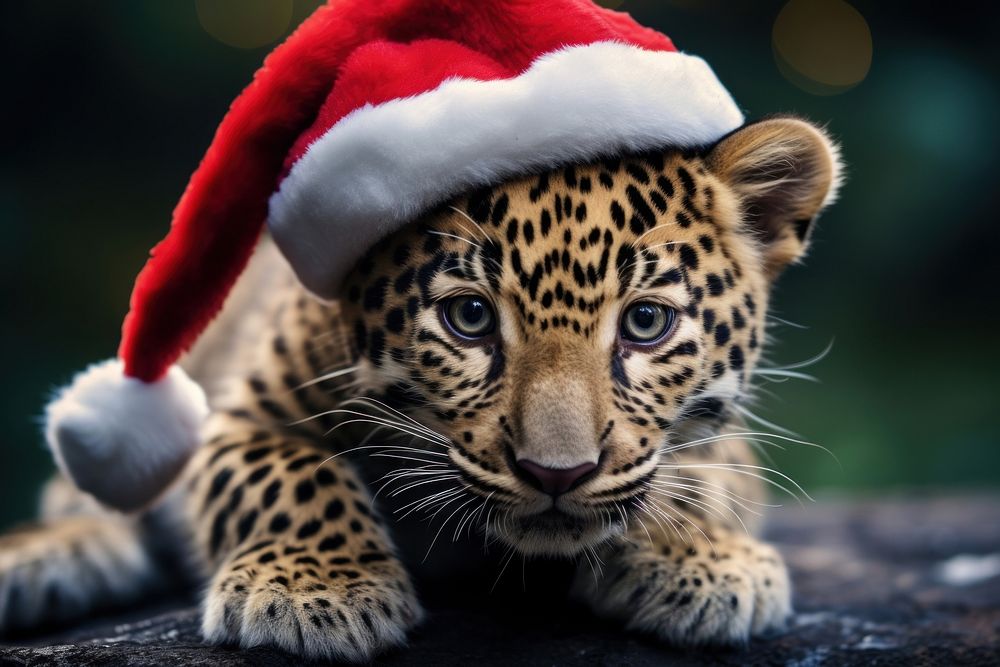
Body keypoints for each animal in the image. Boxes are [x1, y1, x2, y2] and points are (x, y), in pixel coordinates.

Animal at [0, 116, 840, 661]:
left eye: (645, 322)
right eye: (469, 318)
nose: (557, 474)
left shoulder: (720, 435)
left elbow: (698, 472)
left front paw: (707, 564)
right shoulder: (241, 414)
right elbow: (289, 472)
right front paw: (316, 592)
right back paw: (44, 561)